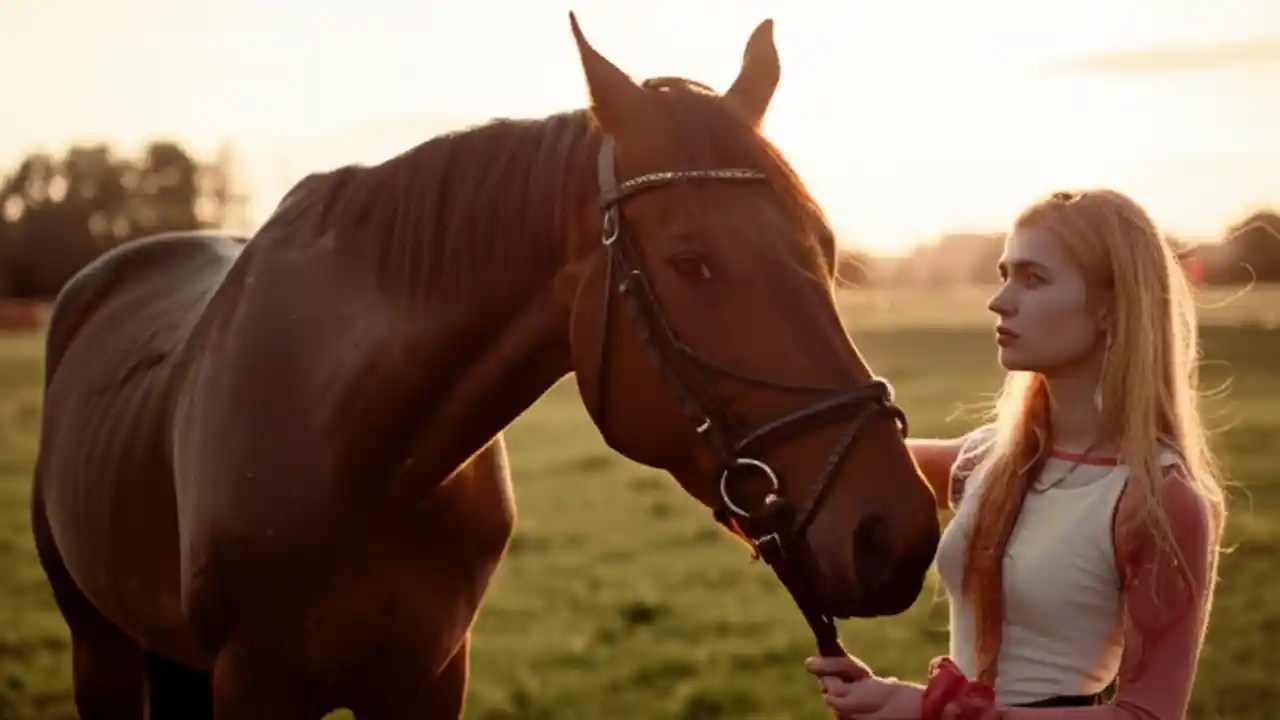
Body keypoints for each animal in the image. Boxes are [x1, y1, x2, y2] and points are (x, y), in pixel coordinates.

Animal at [31, 14, 941, 719]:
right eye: (692, 264)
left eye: (825, 250)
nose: (896, 535)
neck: (364, 461)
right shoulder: (255, 685)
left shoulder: (430, 678)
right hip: (99, 646)